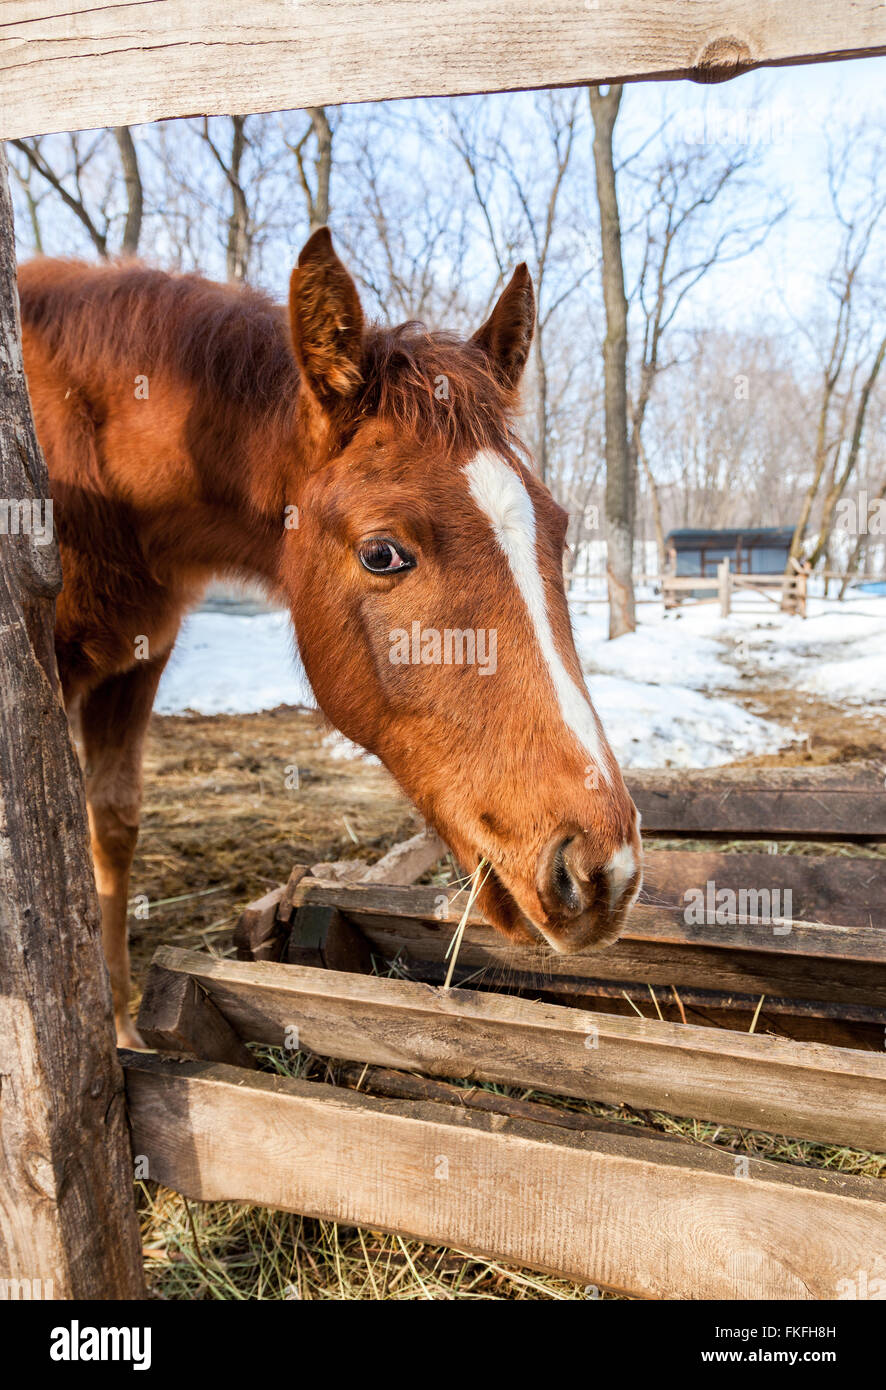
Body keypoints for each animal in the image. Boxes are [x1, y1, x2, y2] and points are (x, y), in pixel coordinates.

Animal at [18, 228, 642, 1047]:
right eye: (382, 553)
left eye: (561, 530)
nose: (604, 868)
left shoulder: (137, 660)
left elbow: (111, 827)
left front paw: (121, 1029)